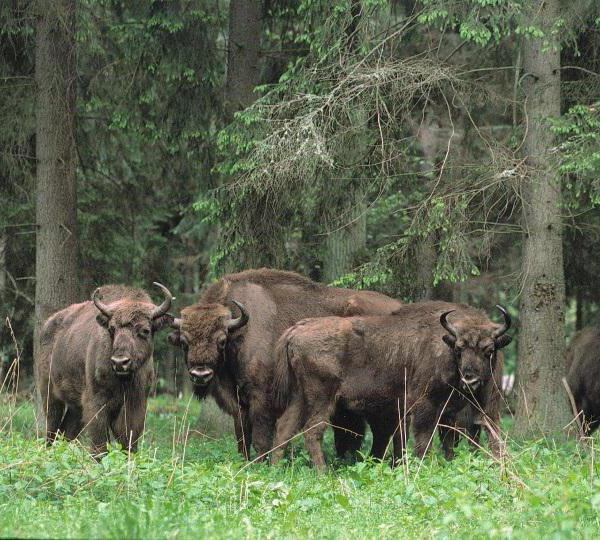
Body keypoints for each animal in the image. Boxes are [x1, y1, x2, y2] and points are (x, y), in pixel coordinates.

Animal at [34, 282, 172, 456]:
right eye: (112, 329)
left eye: (145, 330)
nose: (120, 362)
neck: (123, 381)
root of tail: (48, 324)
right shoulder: (96, 401)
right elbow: (100, 441)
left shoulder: (137, 403)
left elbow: (129, 439)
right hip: (49, 393)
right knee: (52, 427)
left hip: (75, 407)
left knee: (67, 431)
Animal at [168, 268, 404, 458]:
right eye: (184, 342)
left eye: (221, 340)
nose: (200, 374)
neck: (240, 332)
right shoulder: (240, 404)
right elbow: (242, 438)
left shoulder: (261, 399)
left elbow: (261, 439)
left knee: (386, 429)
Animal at [272, 302, 510, 470]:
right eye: (459, 349)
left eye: (489, 350)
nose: (470, 379)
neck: (445, 346)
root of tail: (296, 330)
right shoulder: (425, 406)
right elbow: (423, 441)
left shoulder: (451, 413)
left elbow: (450, 442)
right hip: (321, 397)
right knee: (313, 430)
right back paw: (323, 472)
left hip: (299, 396)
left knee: (285, 427)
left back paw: (276, 469)